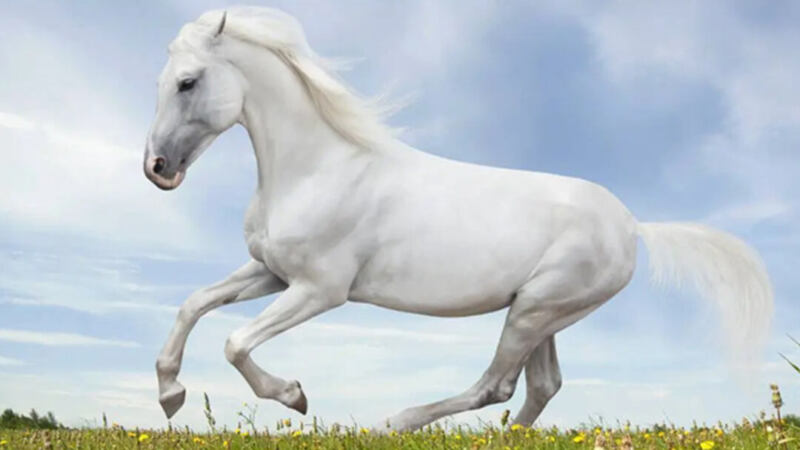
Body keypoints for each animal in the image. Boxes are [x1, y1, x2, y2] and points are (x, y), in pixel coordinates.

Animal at [143, 7, 773, 431]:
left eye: (188, 82)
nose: (157, 170)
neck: (319, 167)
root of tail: (634, 225)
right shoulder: (271, 272)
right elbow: (193, 305)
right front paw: (171, 394)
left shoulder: (321, 290)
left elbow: (235, 343)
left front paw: (294, 395)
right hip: (542, 313)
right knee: (542, 385)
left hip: (536, 309)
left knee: (496, 385)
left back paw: (393, 423)